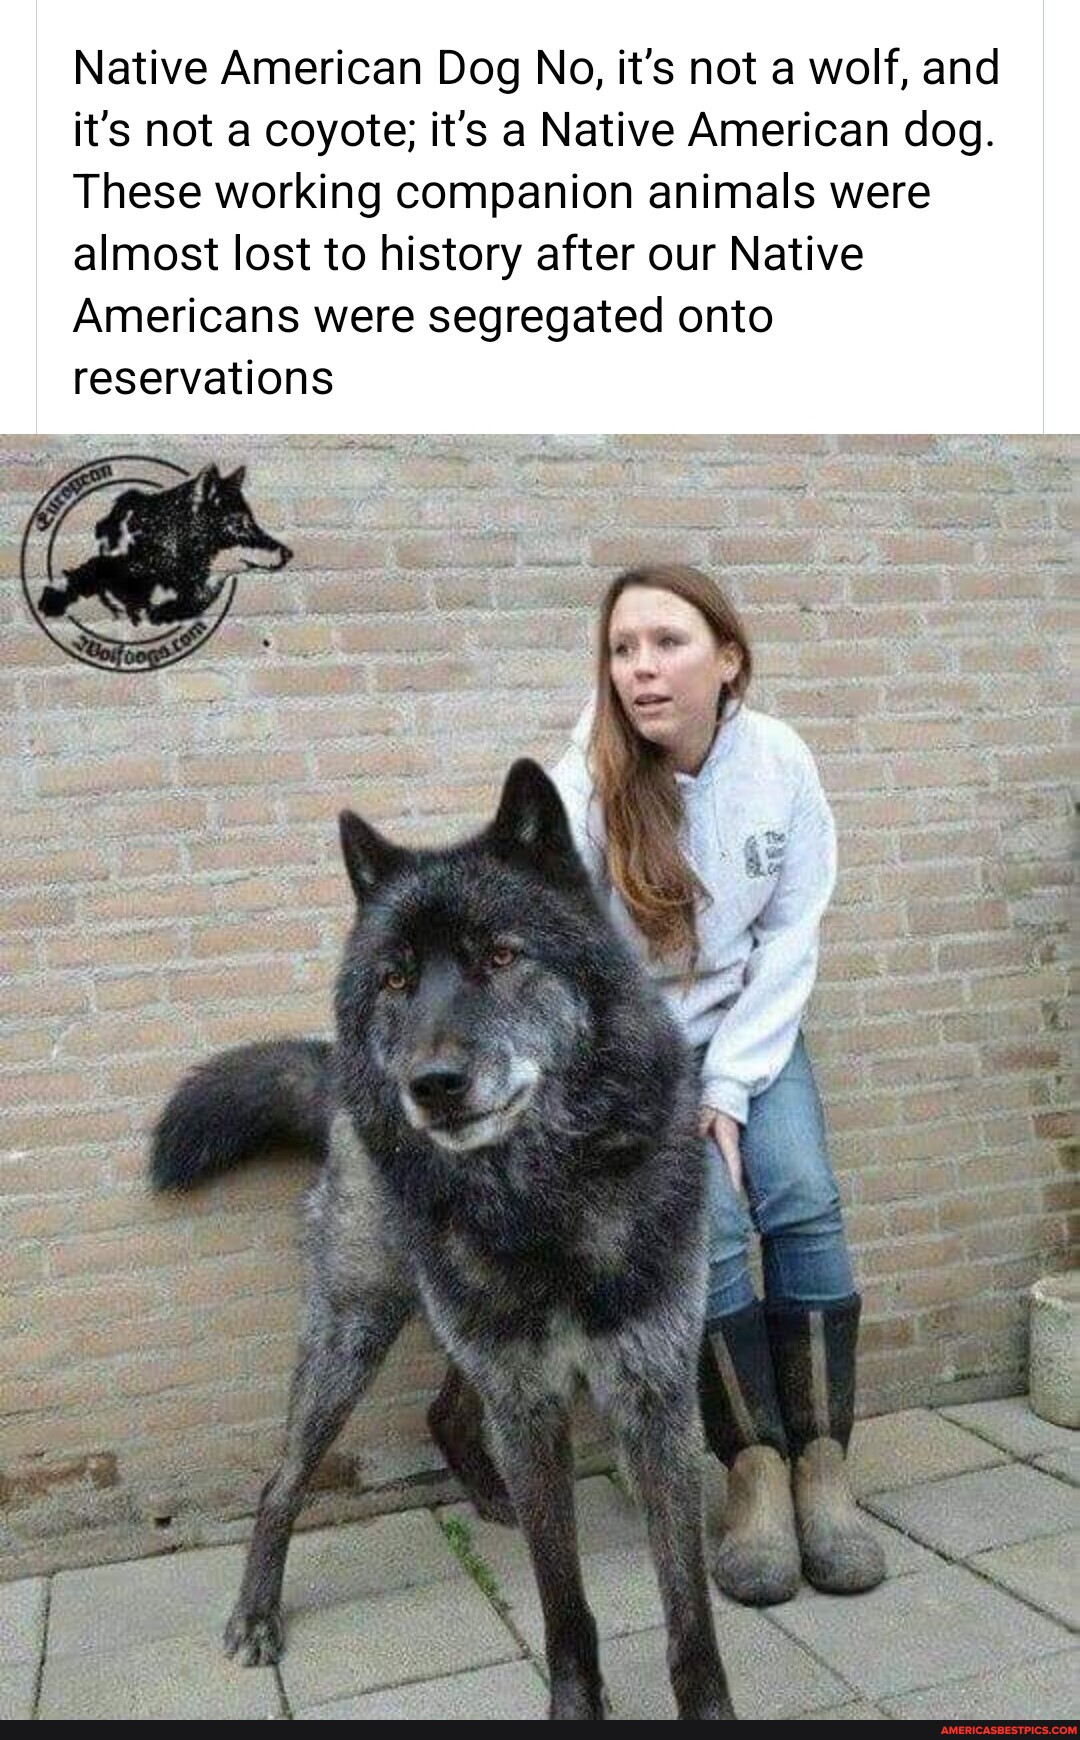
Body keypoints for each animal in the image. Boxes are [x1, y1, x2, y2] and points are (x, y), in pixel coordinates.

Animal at [150, 761, 735, 1721]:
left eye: (499, 957)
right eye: (394, 980)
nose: (431, 1085)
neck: (540, 1204)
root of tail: (338, 1079)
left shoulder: (653, 1399)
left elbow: (689, 1614)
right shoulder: (528, 1406)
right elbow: (561, 1601)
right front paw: (575, 1705)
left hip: (460, 1333)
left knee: (442, 1410)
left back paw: (487, 1493)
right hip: (353, 1335)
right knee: (281, 1480)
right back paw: (257, 1612)